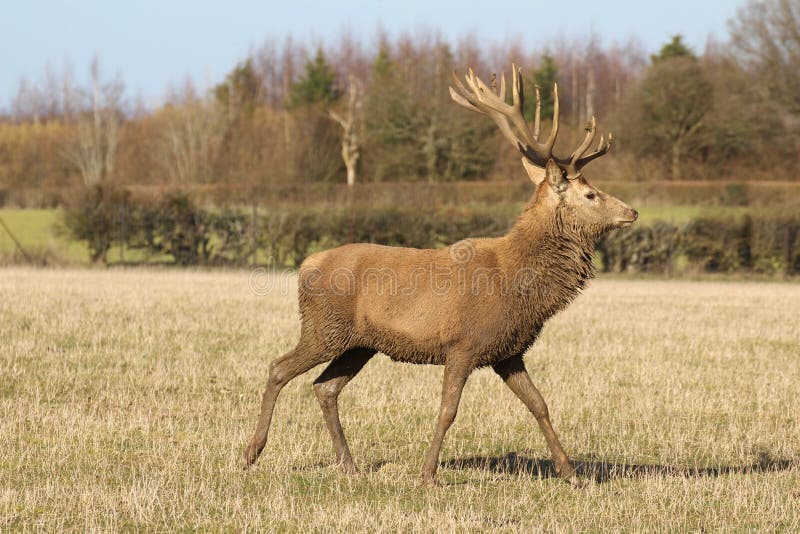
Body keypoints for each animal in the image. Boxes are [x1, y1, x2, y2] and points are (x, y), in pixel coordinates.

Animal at [243, 64, 638, 486]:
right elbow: (449, 410)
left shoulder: (508, 352)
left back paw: (348, 464)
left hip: (359, 343)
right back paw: (253, 452)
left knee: (325, 387)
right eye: (591, 194)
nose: (631, 211)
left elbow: (539, 404)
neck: (519, 283)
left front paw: (570, 472)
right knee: (278, 368)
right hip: (323, 328)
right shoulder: (462, 344)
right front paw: (428, 473)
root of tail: (307, 264)